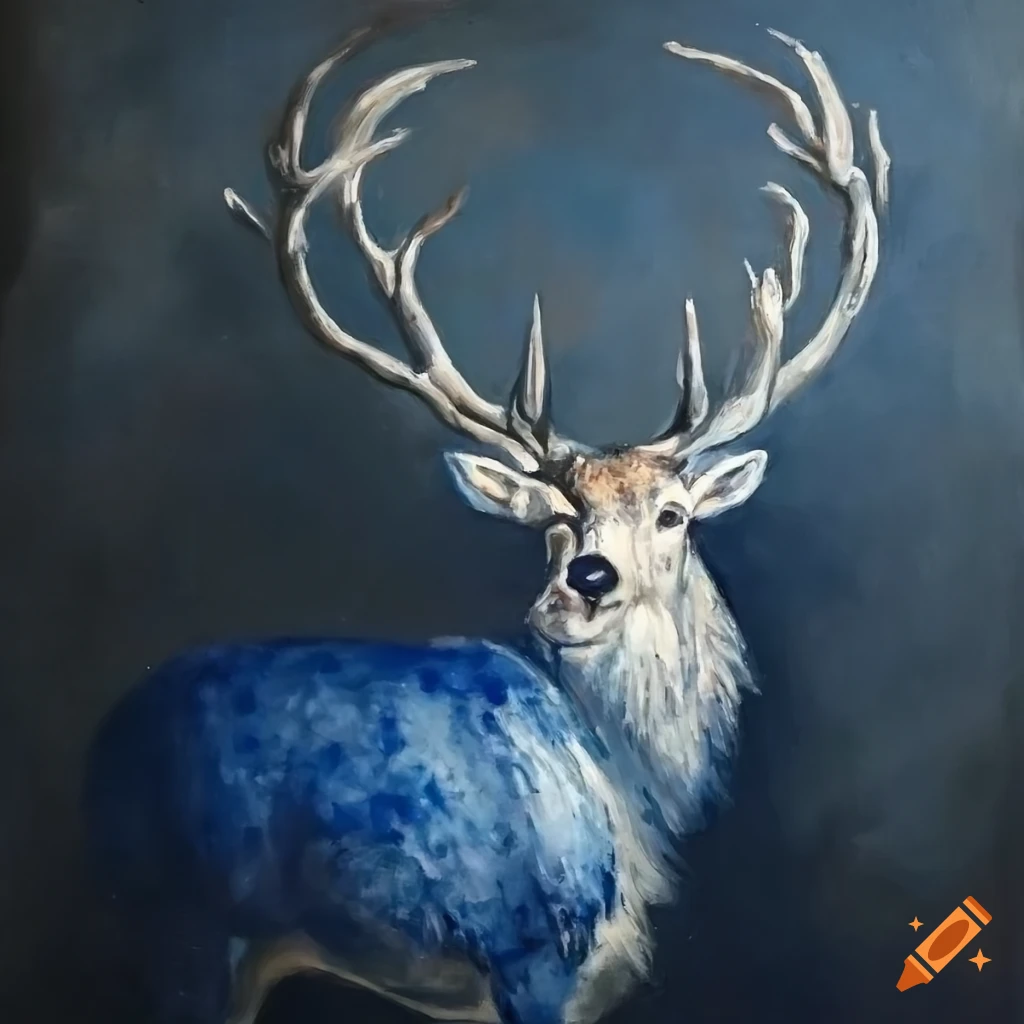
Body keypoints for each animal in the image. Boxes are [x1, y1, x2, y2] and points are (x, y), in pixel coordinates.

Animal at [84, 22, 889, 1024]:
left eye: (671, 514)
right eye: (554, 521)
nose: (586, 582)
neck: (627, 800)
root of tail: (97, 756)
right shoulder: (526, 945)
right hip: (185, 922)